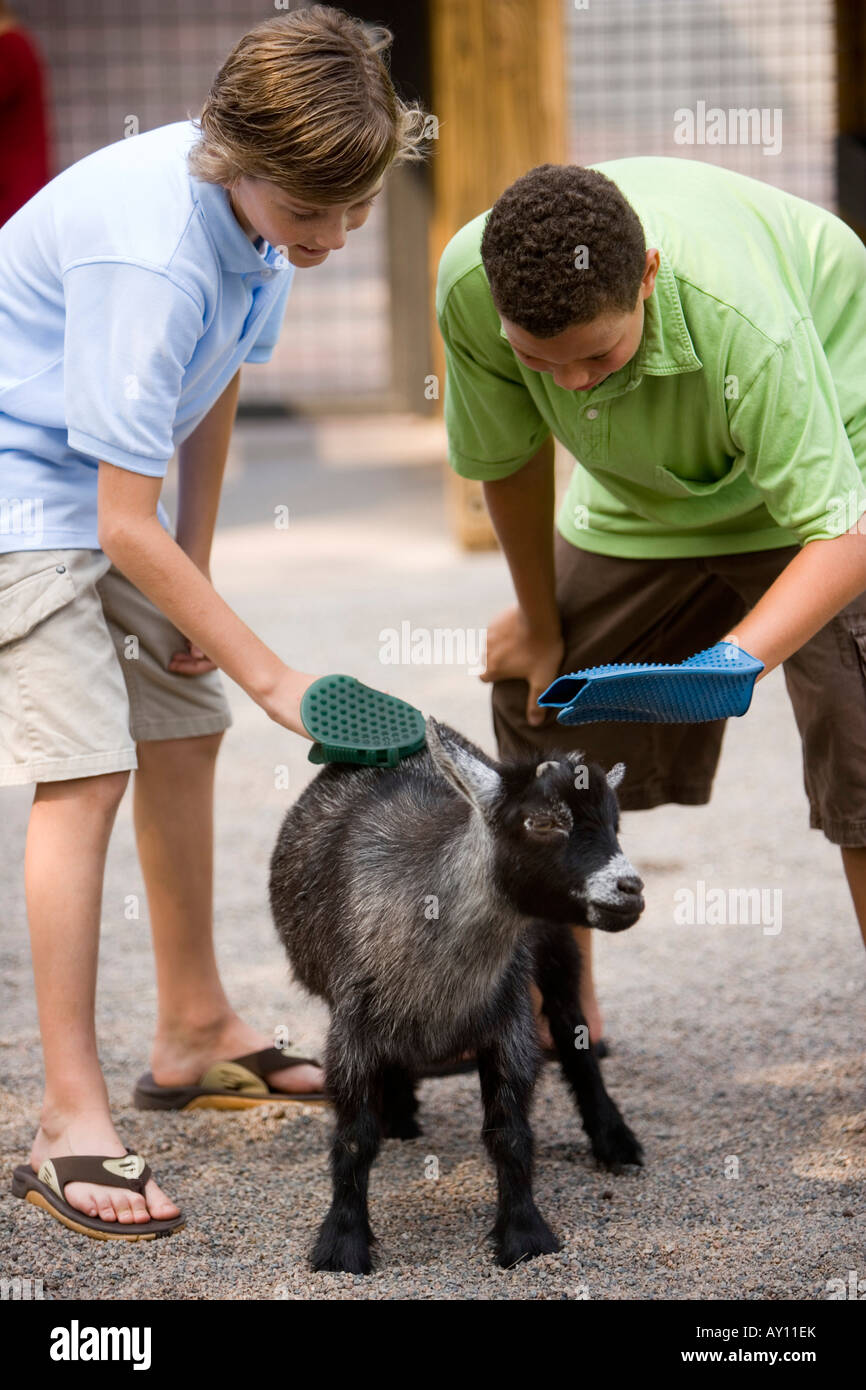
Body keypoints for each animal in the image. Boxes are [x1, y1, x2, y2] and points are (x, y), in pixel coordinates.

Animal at [269, 717, 645, 1274]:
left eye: (615, 825)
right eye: (542, 823)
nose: (630, 890)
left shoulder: (509, 1023)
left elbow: (510, 1133)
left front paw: (524, 1235)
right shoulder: (351, 1030)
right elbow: (355, 1136)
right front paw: (342, 1244)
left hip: (554, 944)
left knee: (571, 1027)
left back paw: (614, 1139)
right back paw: (400, 1111)